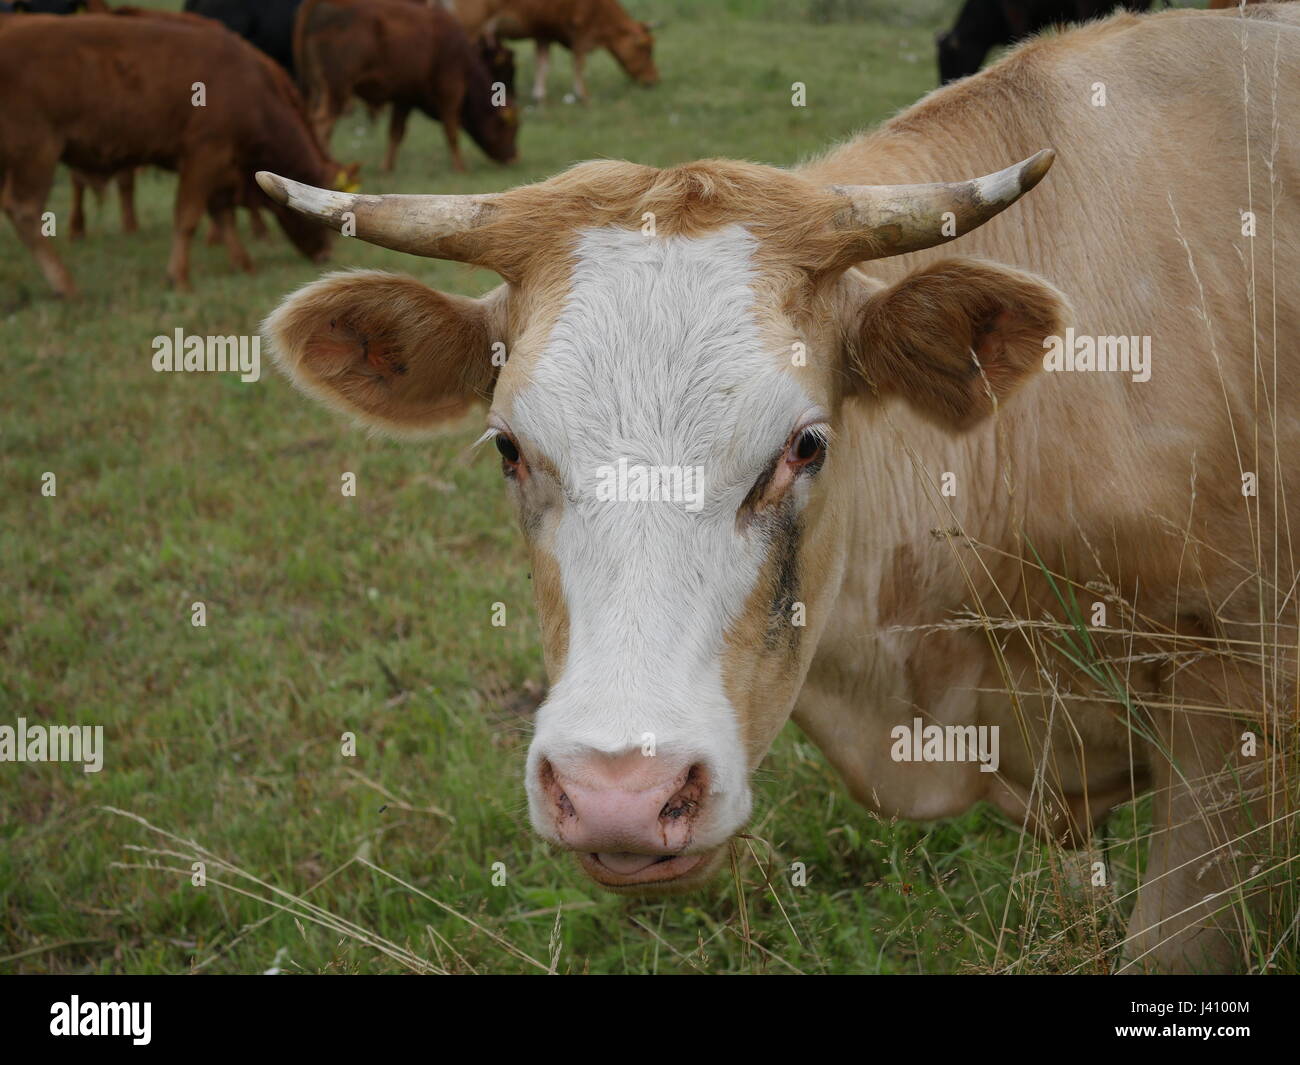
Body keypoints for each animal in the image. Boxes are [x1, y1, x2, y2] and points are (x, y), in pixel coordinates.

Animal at [0, 14, 358, 296]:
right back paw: (65, 285)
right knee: (24, 211)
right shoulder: (205, 154)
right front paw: (180, 278)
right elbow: (188, 218)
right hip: (38, 151)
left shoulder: (218, 166)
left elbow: (221, 213)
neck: (255, 90)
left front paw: (242, 262)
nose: (326, 255)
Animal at [295, 0, 519, 173]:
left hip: (318, 90)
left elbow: (396, 133)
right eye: (512, 128)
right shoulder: (450, 90)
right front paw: (460, 168)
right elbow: (452, 131)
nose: (514, 159)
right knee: (322, 124)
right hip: (337, 91)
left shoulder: (404, 98)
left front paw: (386, 168)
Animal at [451, 0, 657, 103]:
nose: (654, 80)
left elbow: (543, 65)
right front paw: (583, 94)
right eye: (647, 49)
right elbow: (578, 63)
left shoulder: (543, 33)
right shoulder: (581, 31)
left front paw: (539, 95)